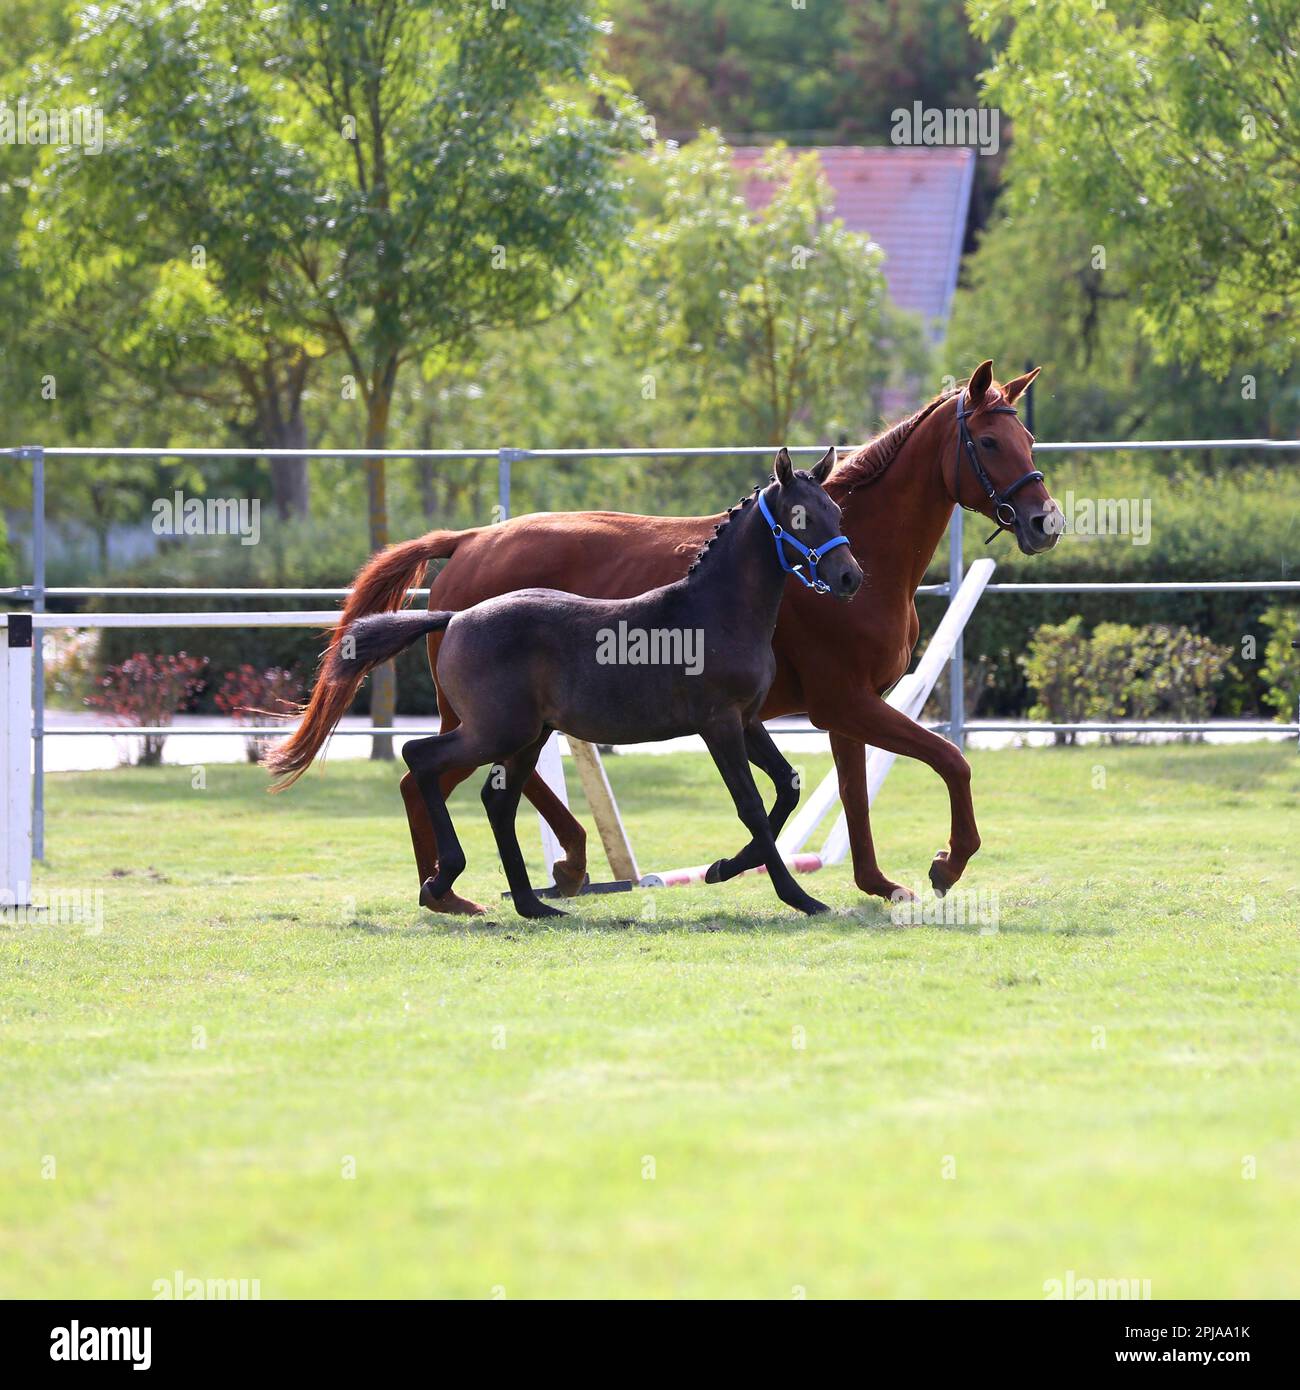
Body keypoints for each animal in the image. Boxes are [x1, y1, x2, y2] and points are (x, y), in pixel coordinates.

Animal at [268, 448, 862, 919]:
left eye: (836, 511)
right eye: (800, 516)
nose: (850, 577)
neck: (716, 611)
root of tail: (454, 617)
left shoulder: (748, 719)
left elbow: (786, 787)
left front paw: (722, 867)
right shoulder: (717, 724)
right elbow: (752, 806)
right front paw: (800, 897)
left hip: (527, 736)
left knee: (494, 799)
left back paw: (532, 904)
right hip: (497, 731)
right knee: (421, 758)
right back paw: (447, 880)